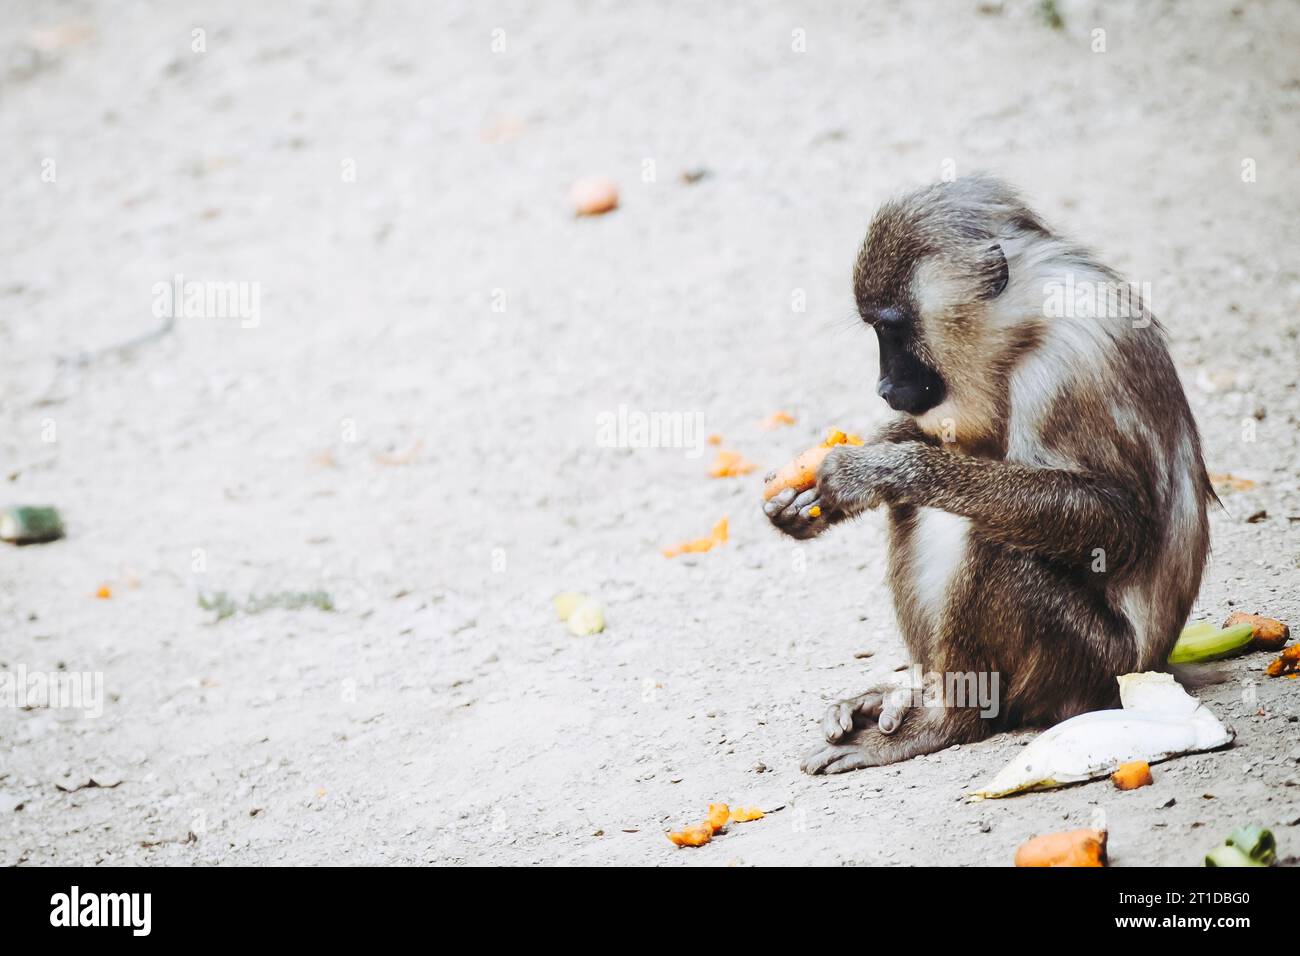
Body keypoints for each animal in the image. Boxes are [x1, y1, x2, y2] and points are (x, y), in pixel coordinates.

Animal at [764, 175, 1214, 774]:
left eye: (892, 329)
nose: (884, 387)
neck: (1030, 321)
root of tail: (1157, 666)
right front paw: (817, 497)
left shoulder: (1064, 371)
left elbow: (1115, 524)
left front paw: (878, 470)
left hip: (1093, 666)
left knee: (997, 546)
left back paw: (950, 720)